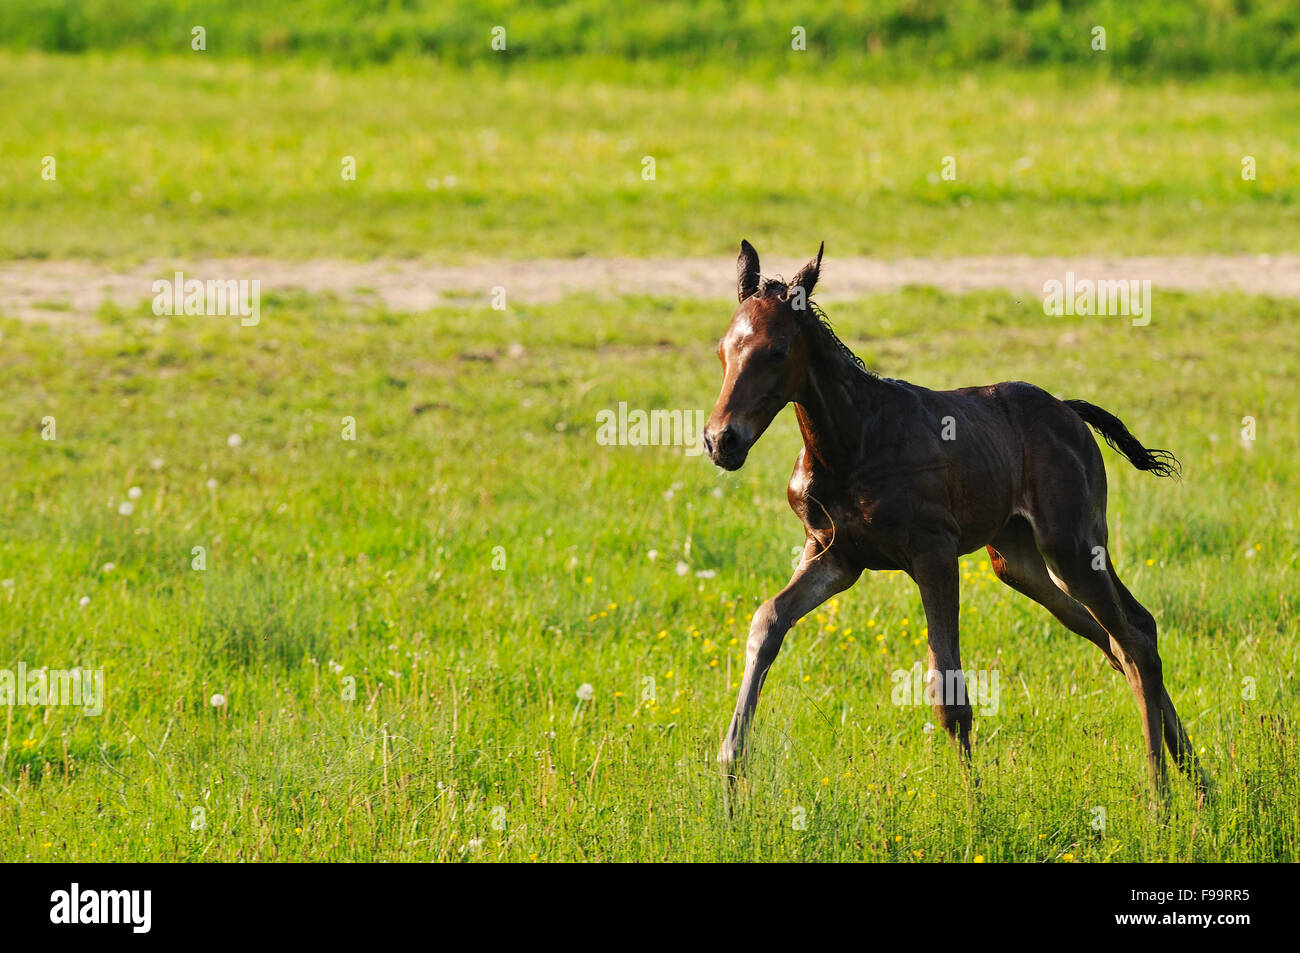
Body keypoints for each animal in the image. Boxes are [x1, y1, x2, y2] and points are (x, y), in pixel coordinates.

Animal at [705, 240, 1209, 803]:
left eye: (776, 351)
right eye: (723, 349)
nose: (721, 440)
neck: (853, 442)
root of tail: (1069, 411)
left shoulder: (934, 553)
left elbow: (949, 690)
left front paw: (976, 805)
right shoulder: (834, 555)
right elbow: (767, 621)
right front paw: (730, 771)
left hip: (1073, 545)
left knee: (1133, 642)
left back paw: (1161, 796)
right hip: (1020, 562)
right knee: (1124, 634)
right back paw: (1198, 782)